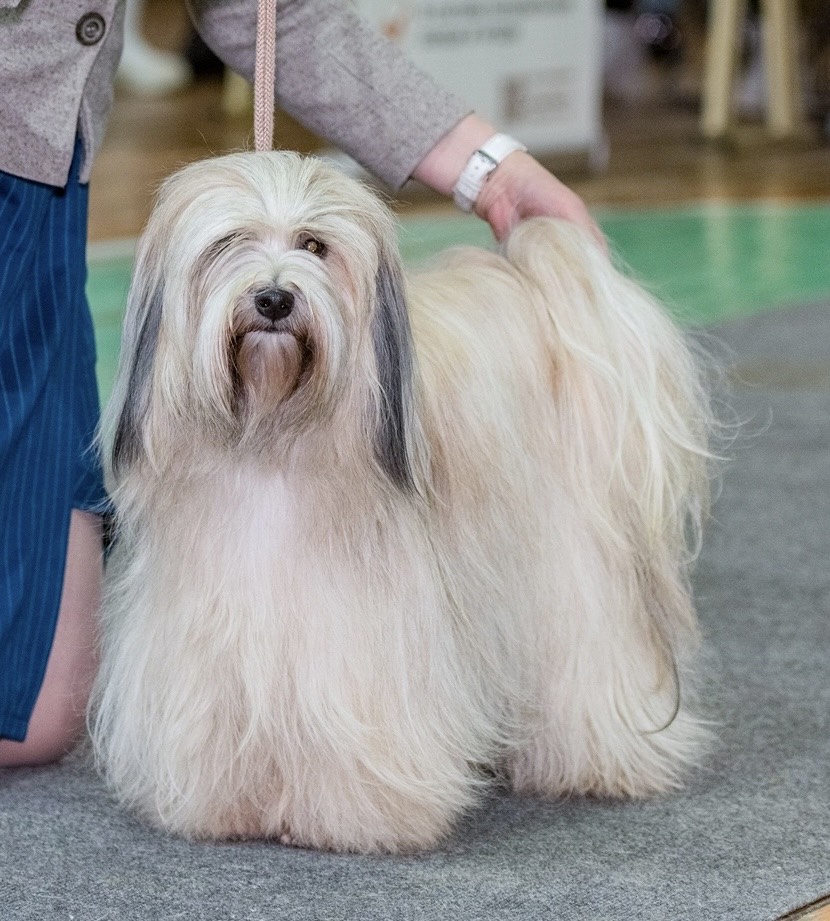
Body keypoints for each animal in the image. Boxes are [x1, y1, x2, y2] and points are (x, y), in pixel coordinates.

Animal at [91, 153, 716, 856]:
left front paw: (353, 815)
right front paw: (228, 805)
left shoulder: (356, 629)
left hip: (571, 566)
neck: (270, 439)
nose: (275, 298)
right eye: (229, 244)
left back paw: (601, 760)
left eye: (315, 246)